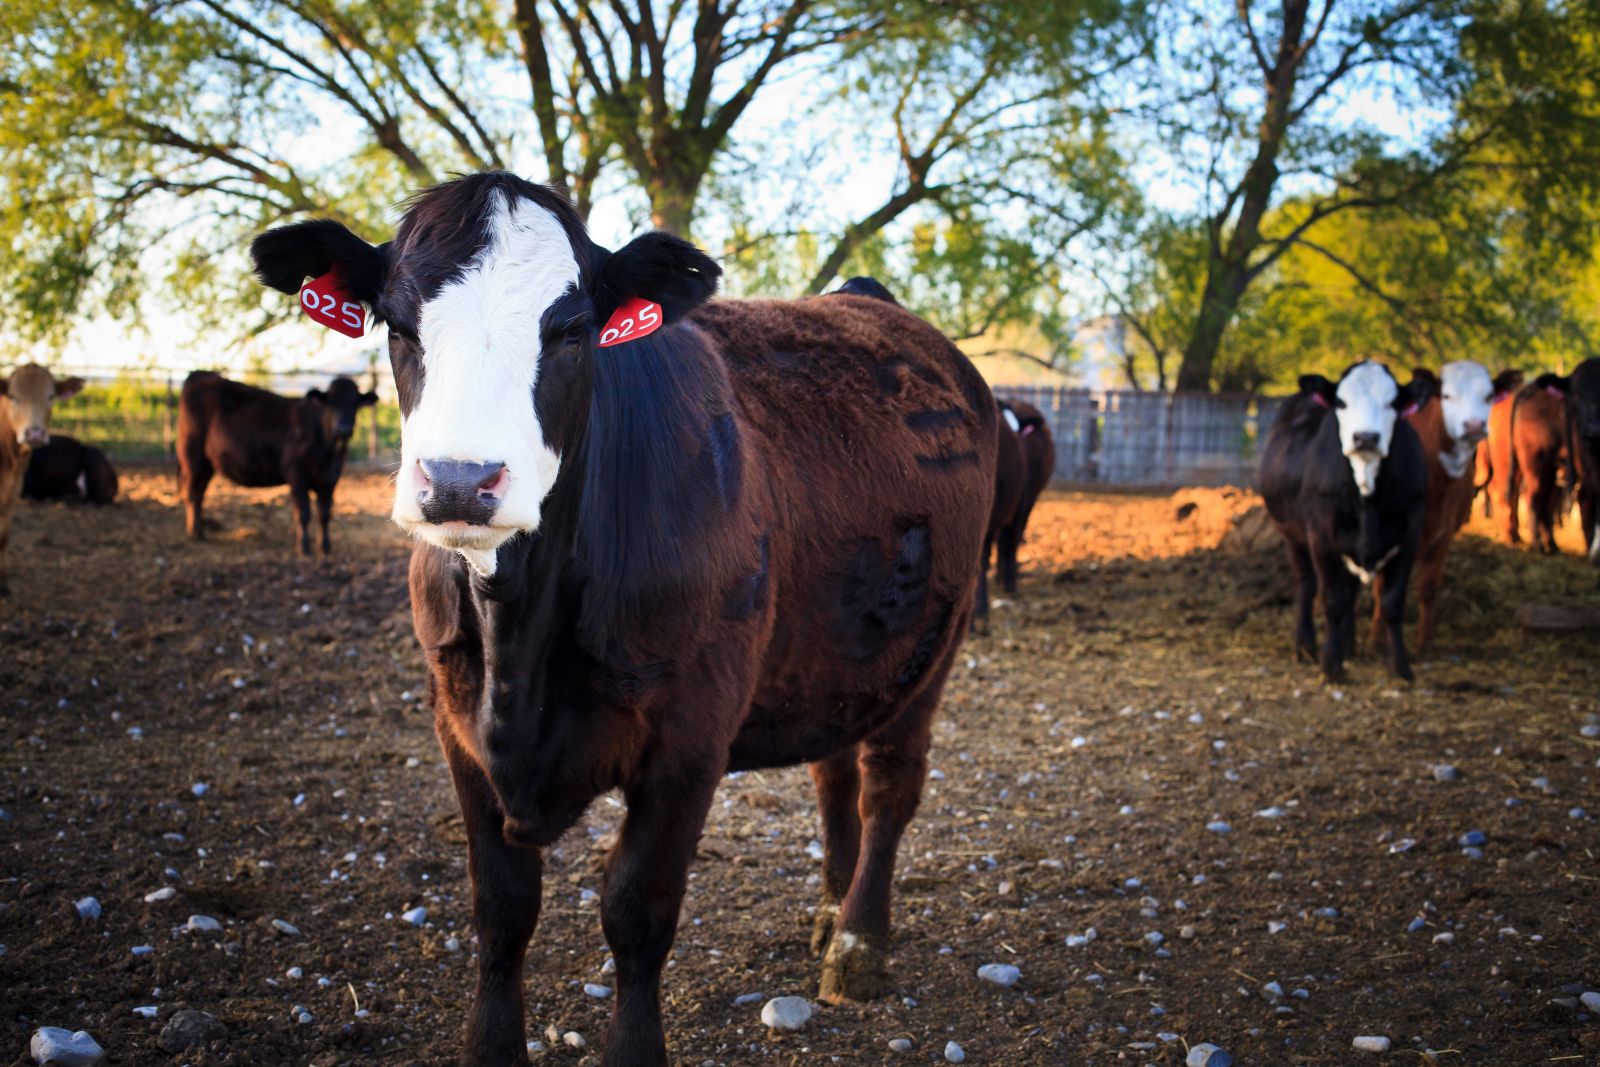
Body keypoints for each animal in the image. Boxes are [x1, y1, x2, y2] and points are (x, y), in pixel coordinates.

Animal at [177, 372, 377, 555]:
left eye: (355, 403)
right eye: (331, 402)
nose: (344, 429)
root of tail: (200, 374)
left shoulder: (331, 479)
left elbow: (324, 514)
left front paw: (325, 547)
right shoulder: (297, 474)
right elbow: (303, 513)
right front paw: (304, 548)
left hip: (207, 464)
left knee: (199, 493)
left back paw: (199, 529)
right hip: (192, 456)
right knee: (191, 493)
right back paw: (195, 533)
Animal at [249, 171, 997, 1067]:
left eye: (571, 330)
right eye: (396, 322)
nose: (460, 480)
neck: (519, 639)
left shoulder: (690, 736)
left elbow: (637, 911)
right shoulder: (454, 720)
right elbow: (501, 908)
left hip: (936, 642)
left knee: (888, 784)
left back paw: (857, 947)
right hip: (842, 652)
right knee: (834, 773)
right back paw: (827, 916)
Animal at [1260, 362, 1431, 682]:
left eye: (1393, 403)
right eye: (1341, 402)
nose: (1365, 437)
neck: (1367, 492)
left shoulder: (1409, 536)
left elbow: (1392, 602)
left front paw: (1399, 666)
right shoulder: (1321, 539)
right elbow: (1331, 599)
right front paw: (1331, 665)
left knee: (1350, 589)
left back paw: (1348, 644)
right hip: (1293, 536)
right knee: (1306, 585)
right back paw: (1305, 647)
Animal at [1368, 362, 1498, 653]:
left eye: (1488, 396)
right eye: (1446, 395)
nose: (1473, 426)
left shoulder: (1443, 535)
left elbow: (1428, 586)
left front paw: (1424, 641)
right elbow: (1382, 588)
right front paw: (1378, 637)